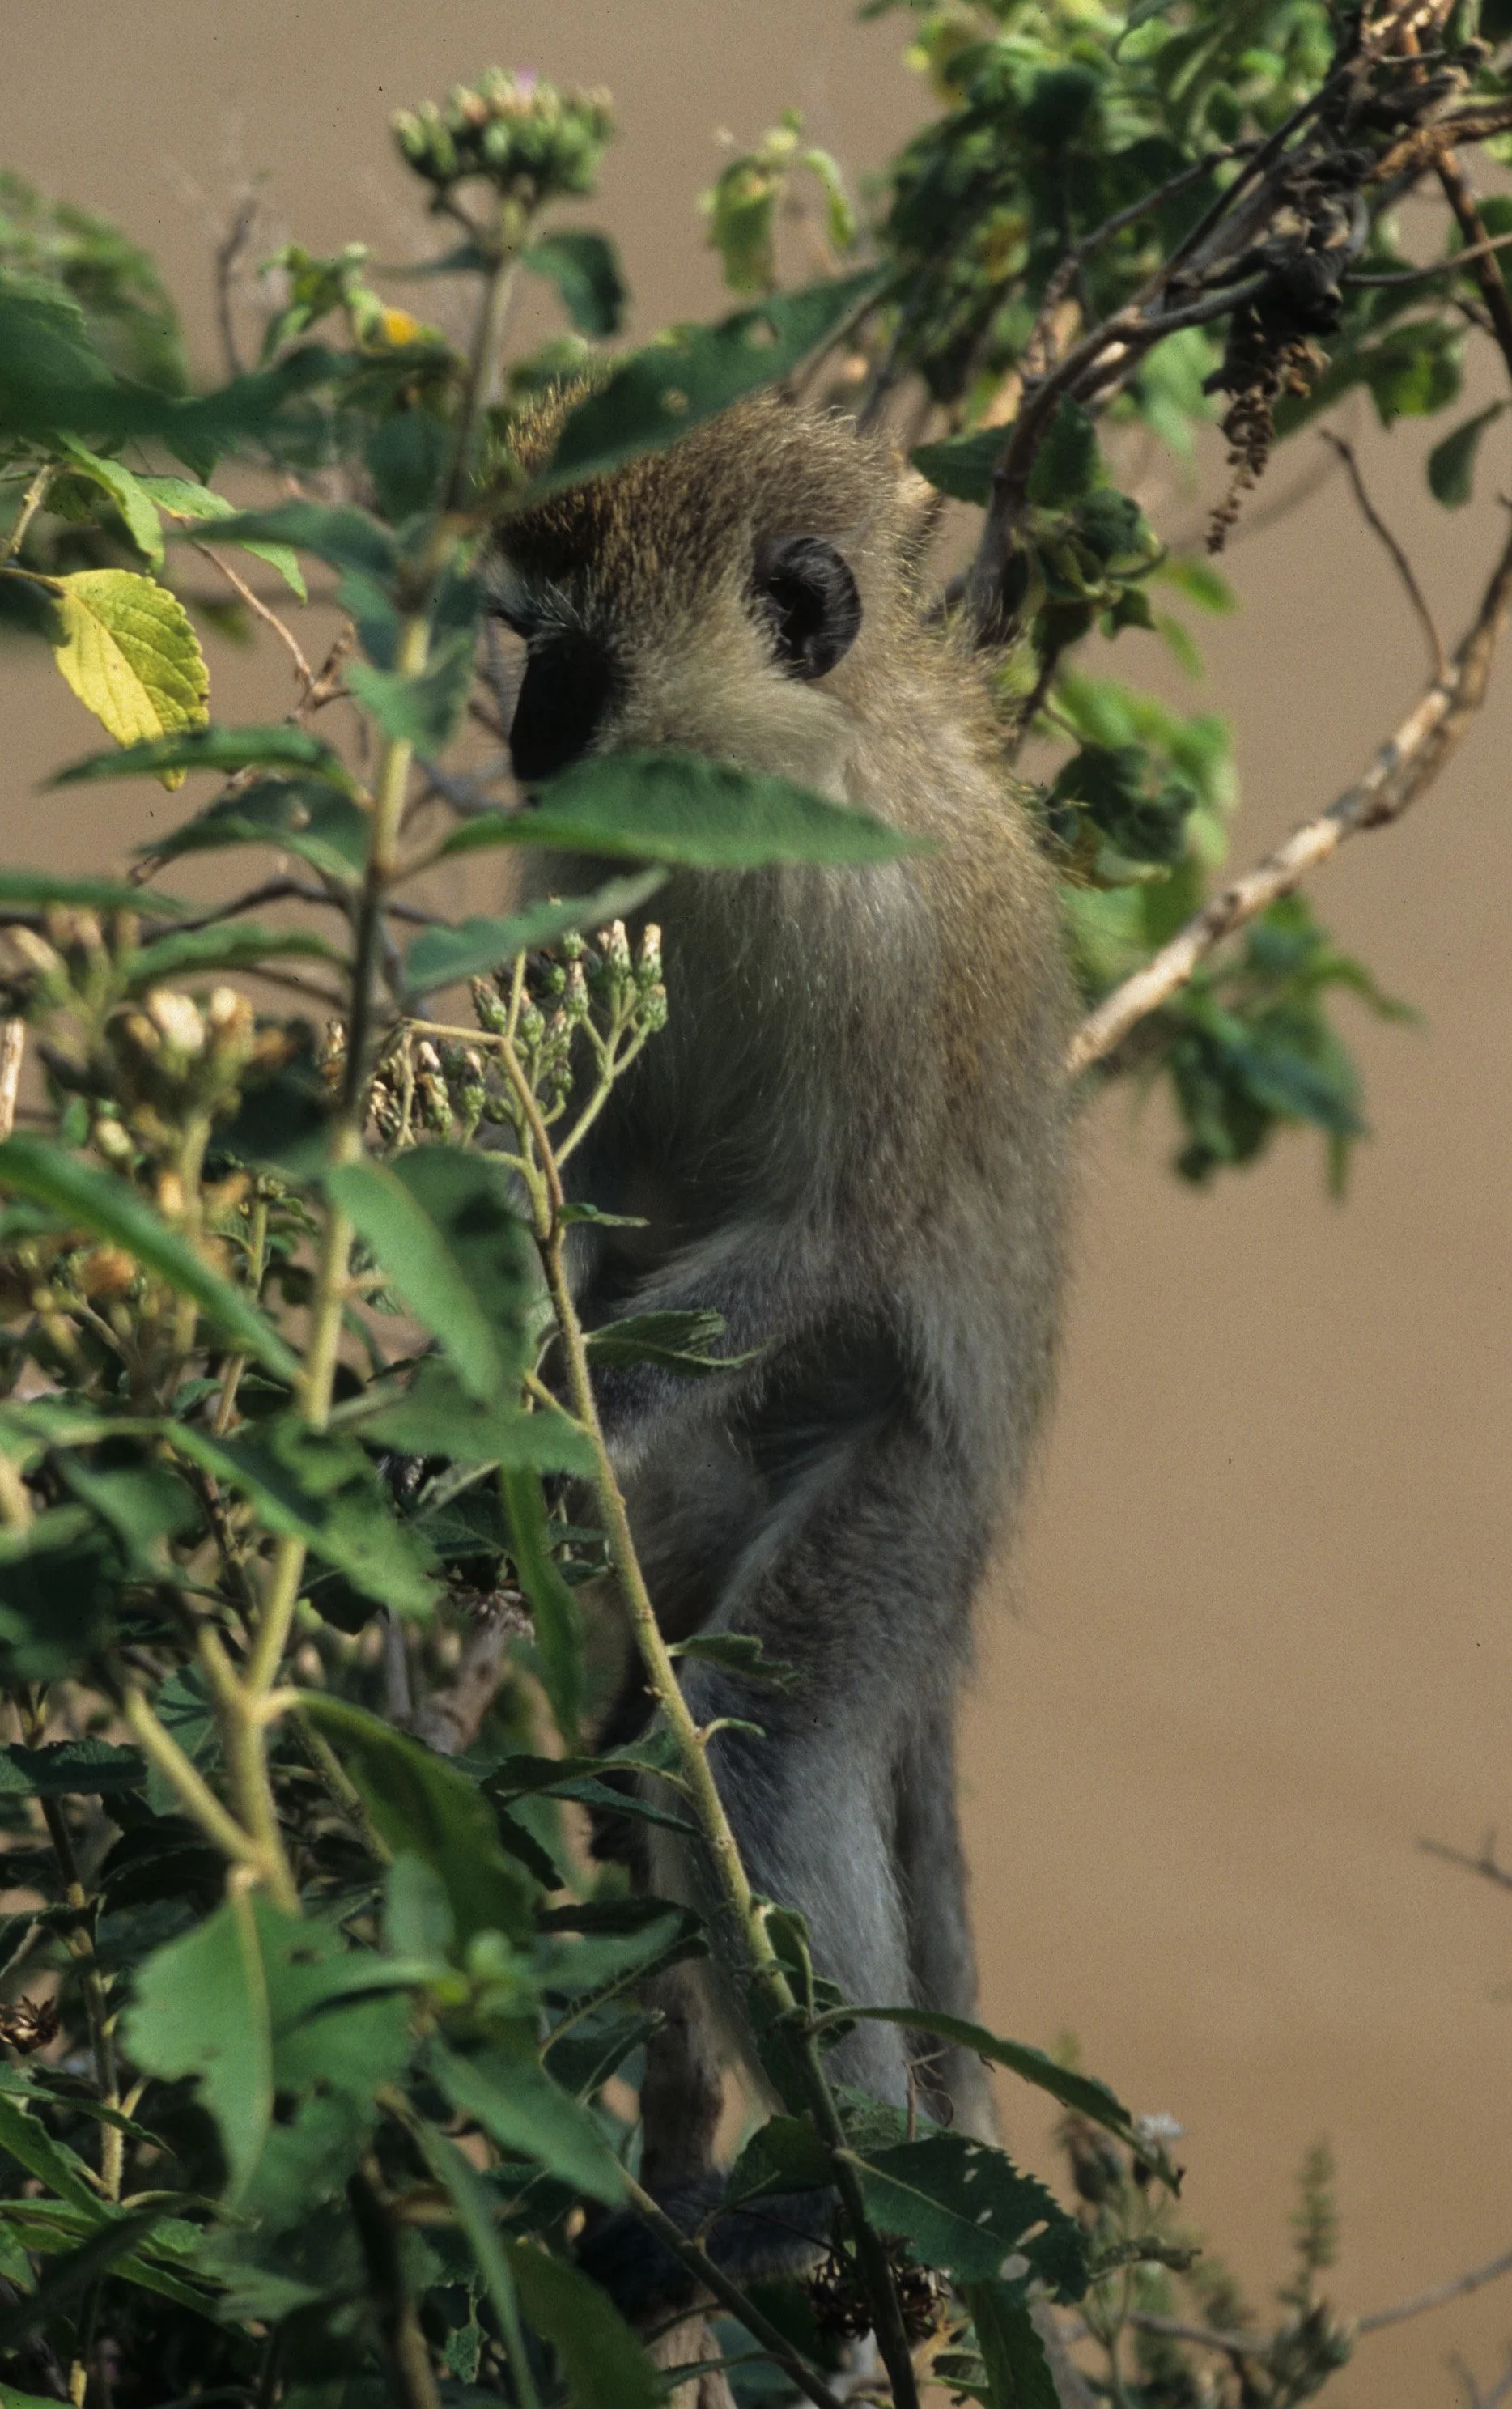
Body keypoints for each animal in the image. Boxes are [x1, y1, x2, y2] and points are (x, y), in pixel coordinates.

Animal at [486, 391, 1075, 2305]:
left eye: (572, 663)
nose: (519, 741)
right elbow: (595, 1176)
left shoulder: (878, 939)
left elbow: (836, 1239)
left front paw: (525, 1423)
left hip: (914, 1496)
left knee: (756, 1736)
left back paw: (844, 2184)